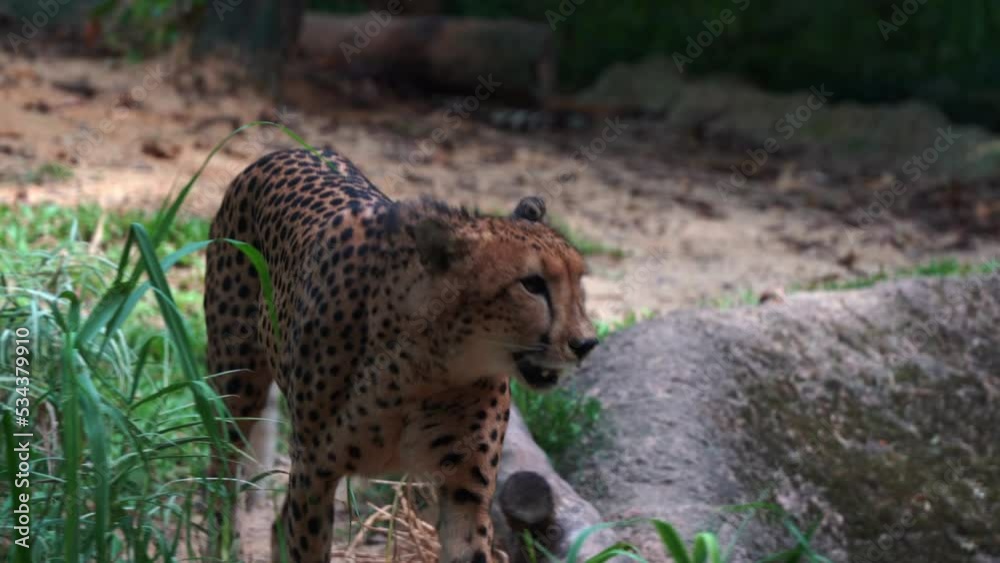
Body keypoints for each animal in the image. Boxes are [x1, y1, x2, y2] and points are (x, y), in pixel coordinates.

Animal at [204, 147, 598, 563]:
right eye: (532, 285)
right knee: (220, 473)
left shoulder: (466, 488)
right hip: (235, 386)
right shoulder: (315, 472)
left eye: (579, 281)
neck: (429, 368)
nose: (586, 343)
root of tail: (287, 151)